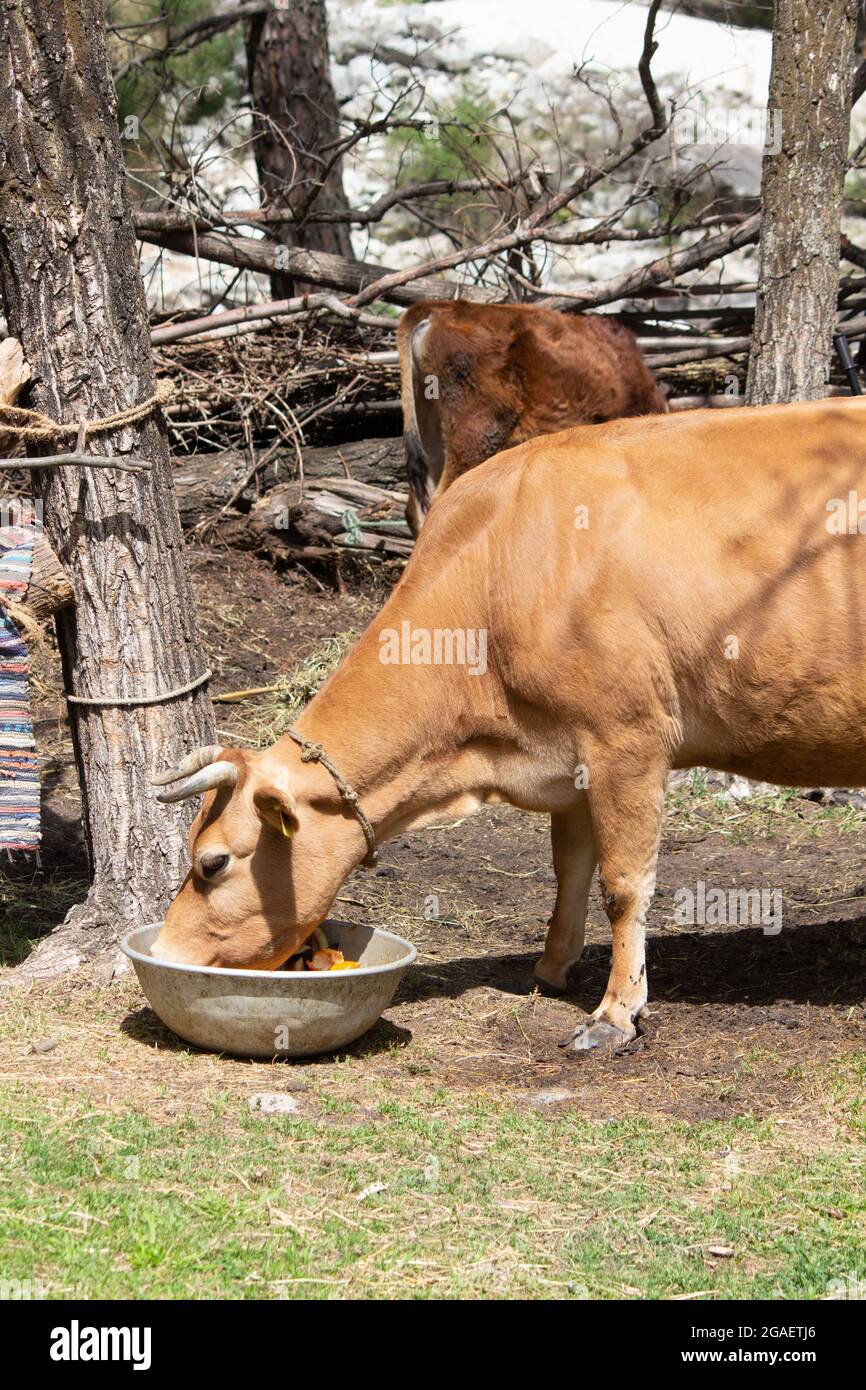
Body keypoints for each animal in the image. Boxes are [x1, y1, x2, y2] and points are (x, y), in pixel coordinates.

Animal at [152, 396, 866, 1052]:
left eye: (213, 862)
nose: (161, 953)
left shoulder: (627, 739)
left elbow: (623, 885)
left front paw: (615, 1013)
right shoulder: (571, 755)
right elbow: (570, 868)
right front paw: (552, 968)